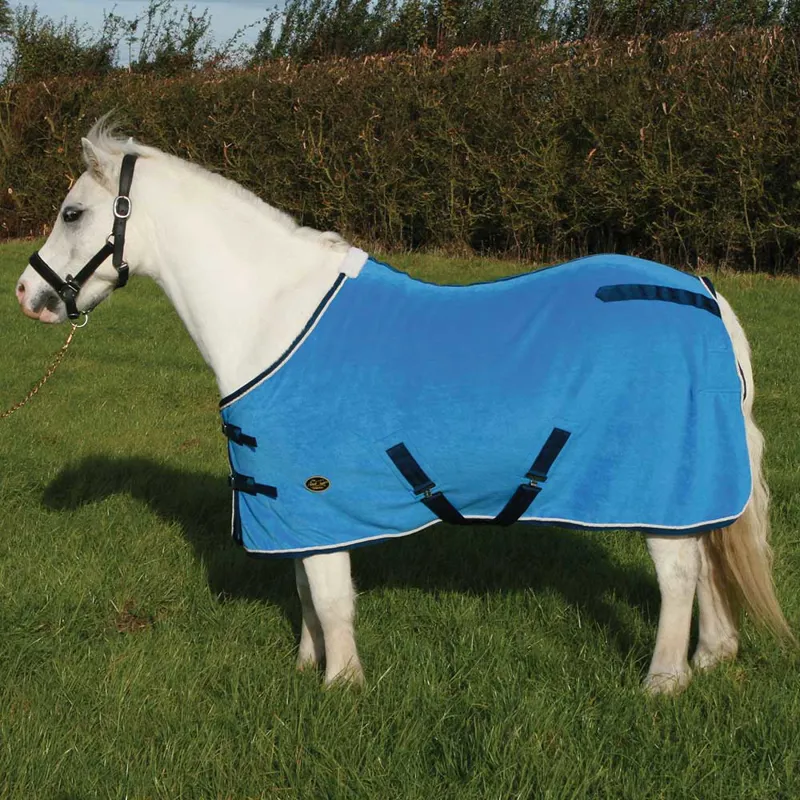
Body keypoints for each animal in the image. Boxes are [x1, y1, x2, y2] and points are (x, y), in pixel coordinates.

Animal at [15, 121, 794, 695]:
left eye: (72, 213)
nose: (28, 294)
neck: (272, 315)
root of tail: (704, 295)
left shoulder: (315, 491)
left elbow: (329, 595)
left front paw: (342, 687)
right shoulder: (295, 505)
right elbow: (304, 587)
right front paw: (308, 666)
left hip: (657, 483)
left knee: (680, 575)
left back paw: (663, 682)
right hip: (693, 487)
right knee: (707, 557)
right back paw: (712, 657)